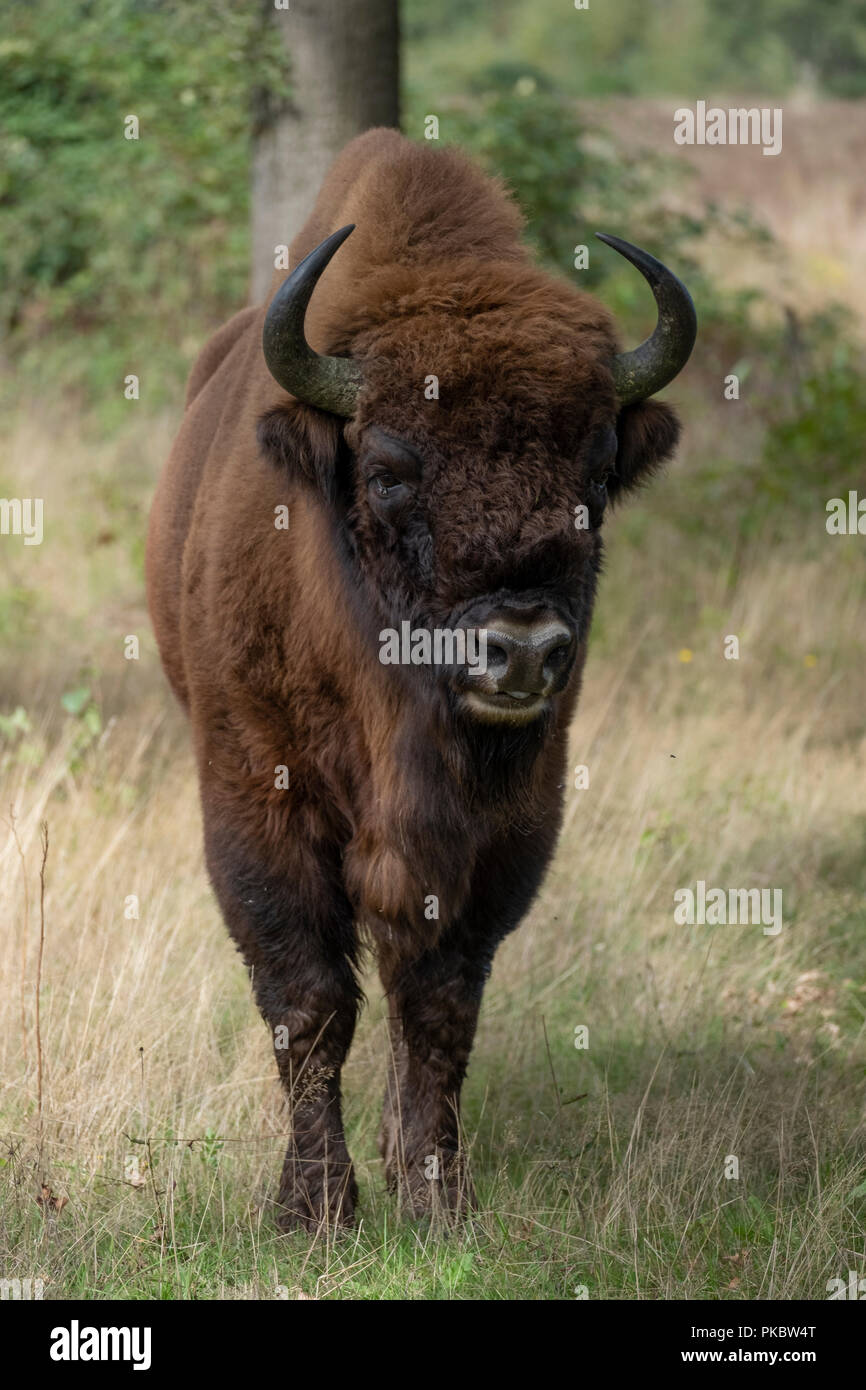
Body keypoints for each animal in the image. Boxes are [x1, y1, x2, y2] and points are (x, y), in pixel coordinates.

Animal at [146, 127, 696, 1230]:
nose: (518, 647)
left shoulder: (506, 824)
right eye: (390, 469)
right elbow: (308, 997)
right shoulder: (253, 798)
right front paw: (315, 1210)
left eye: (596, 469)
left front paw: (434, 1195)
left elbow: (438, 997)